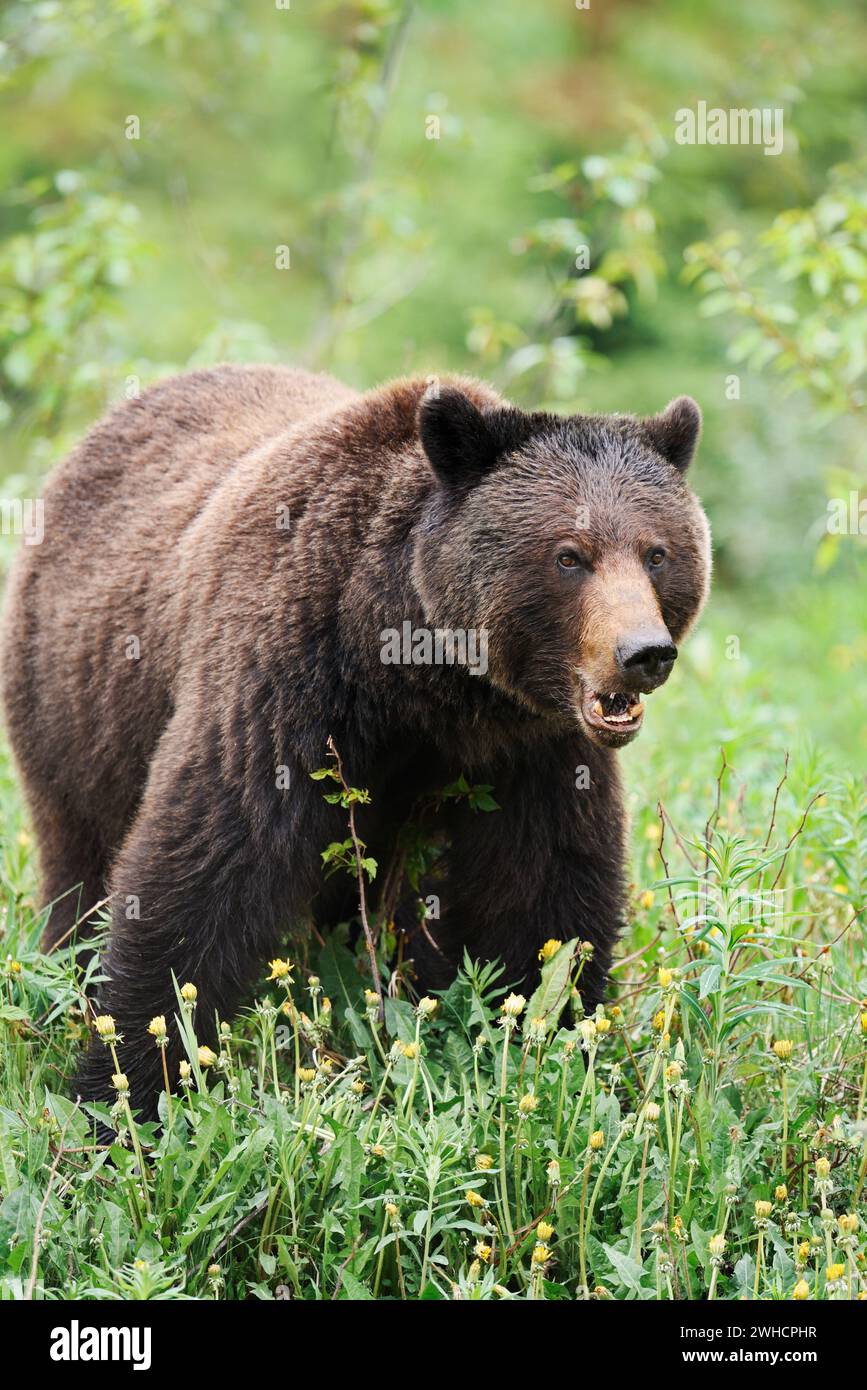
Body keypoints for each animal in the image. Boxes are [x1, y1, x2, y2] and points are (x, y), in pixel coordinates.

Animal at [0, 365, 711, 1112]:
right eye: (569, 555)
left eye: (657, 553)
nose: (644, 652)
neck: (419, 674)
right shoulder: (288, 677)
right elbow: (210, 859)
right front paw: (126, 1085)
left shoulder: (533, 745)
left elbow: (543, 896)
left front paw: (549, 1043)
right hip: (75, 706)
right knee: (80, 858)